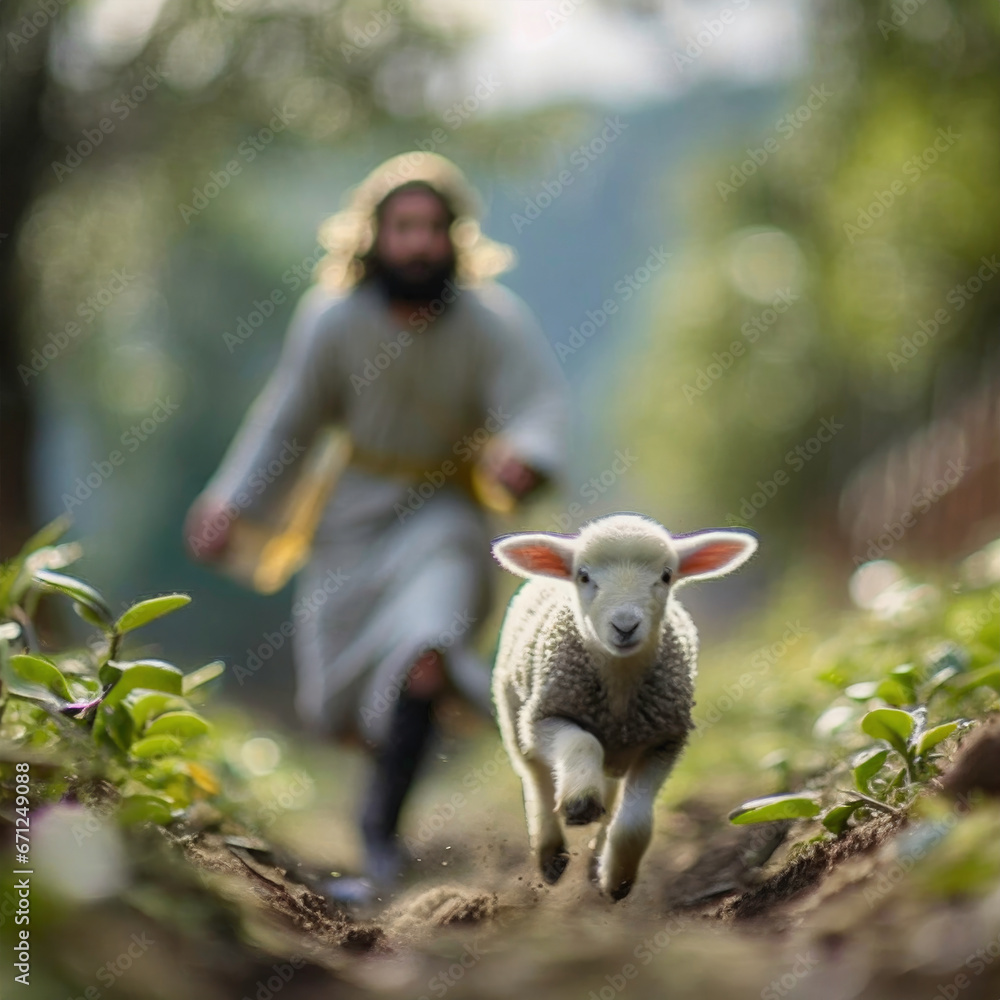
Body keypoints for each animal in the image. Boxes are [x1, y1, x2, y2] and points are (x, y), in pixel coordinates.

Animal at [490, 512, 757, 900]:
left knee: (611, 793)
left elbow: (634, 823)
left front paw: (616, 879)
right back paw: (550, 852)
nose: (625, 626)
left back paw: (596, 860)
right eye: (584, 576)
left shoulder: (665, 739)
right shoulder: (545, 716)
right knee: (536, 777)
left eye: (666, 575)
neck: (619, 684)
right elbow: (580, 743)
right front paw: (580, 801)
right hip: (515, 716)